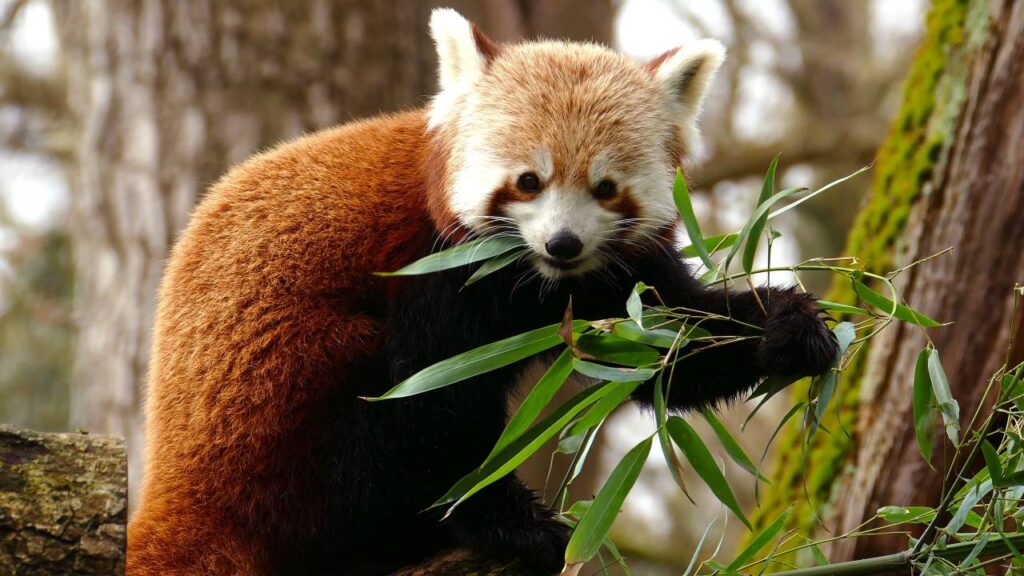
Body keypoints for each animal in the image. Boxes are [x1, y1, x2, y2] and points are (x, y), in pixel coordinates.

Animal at [128, 8, 838, 576]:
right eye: (529, 181)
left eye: (605, 188)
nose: (562, 243)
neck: (532, 278)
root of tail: (177, 488)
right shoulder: (435, 268)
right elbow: (434, 403)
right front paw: (517, 523)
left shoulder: (612, 275)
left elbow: (667, 347)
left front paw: (792, 325)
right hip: (285, 423)